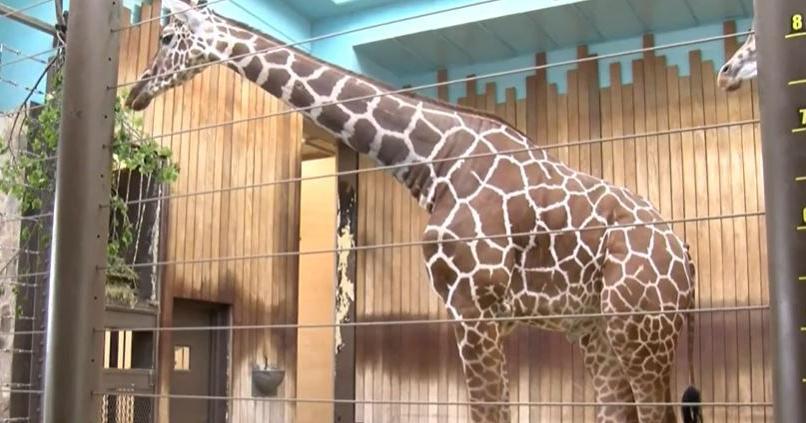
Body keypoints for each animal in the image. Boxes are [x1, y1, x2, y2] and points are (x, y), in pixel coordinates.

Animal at [127, 1, 703, 422]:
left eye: (167, 37)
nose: (136, 90)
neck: (434, 162)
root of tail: (686, 257)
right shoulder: (485, 316)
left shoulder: (473, 307)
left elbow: (490, 414)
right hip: (597, 330)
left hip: (640, 327)